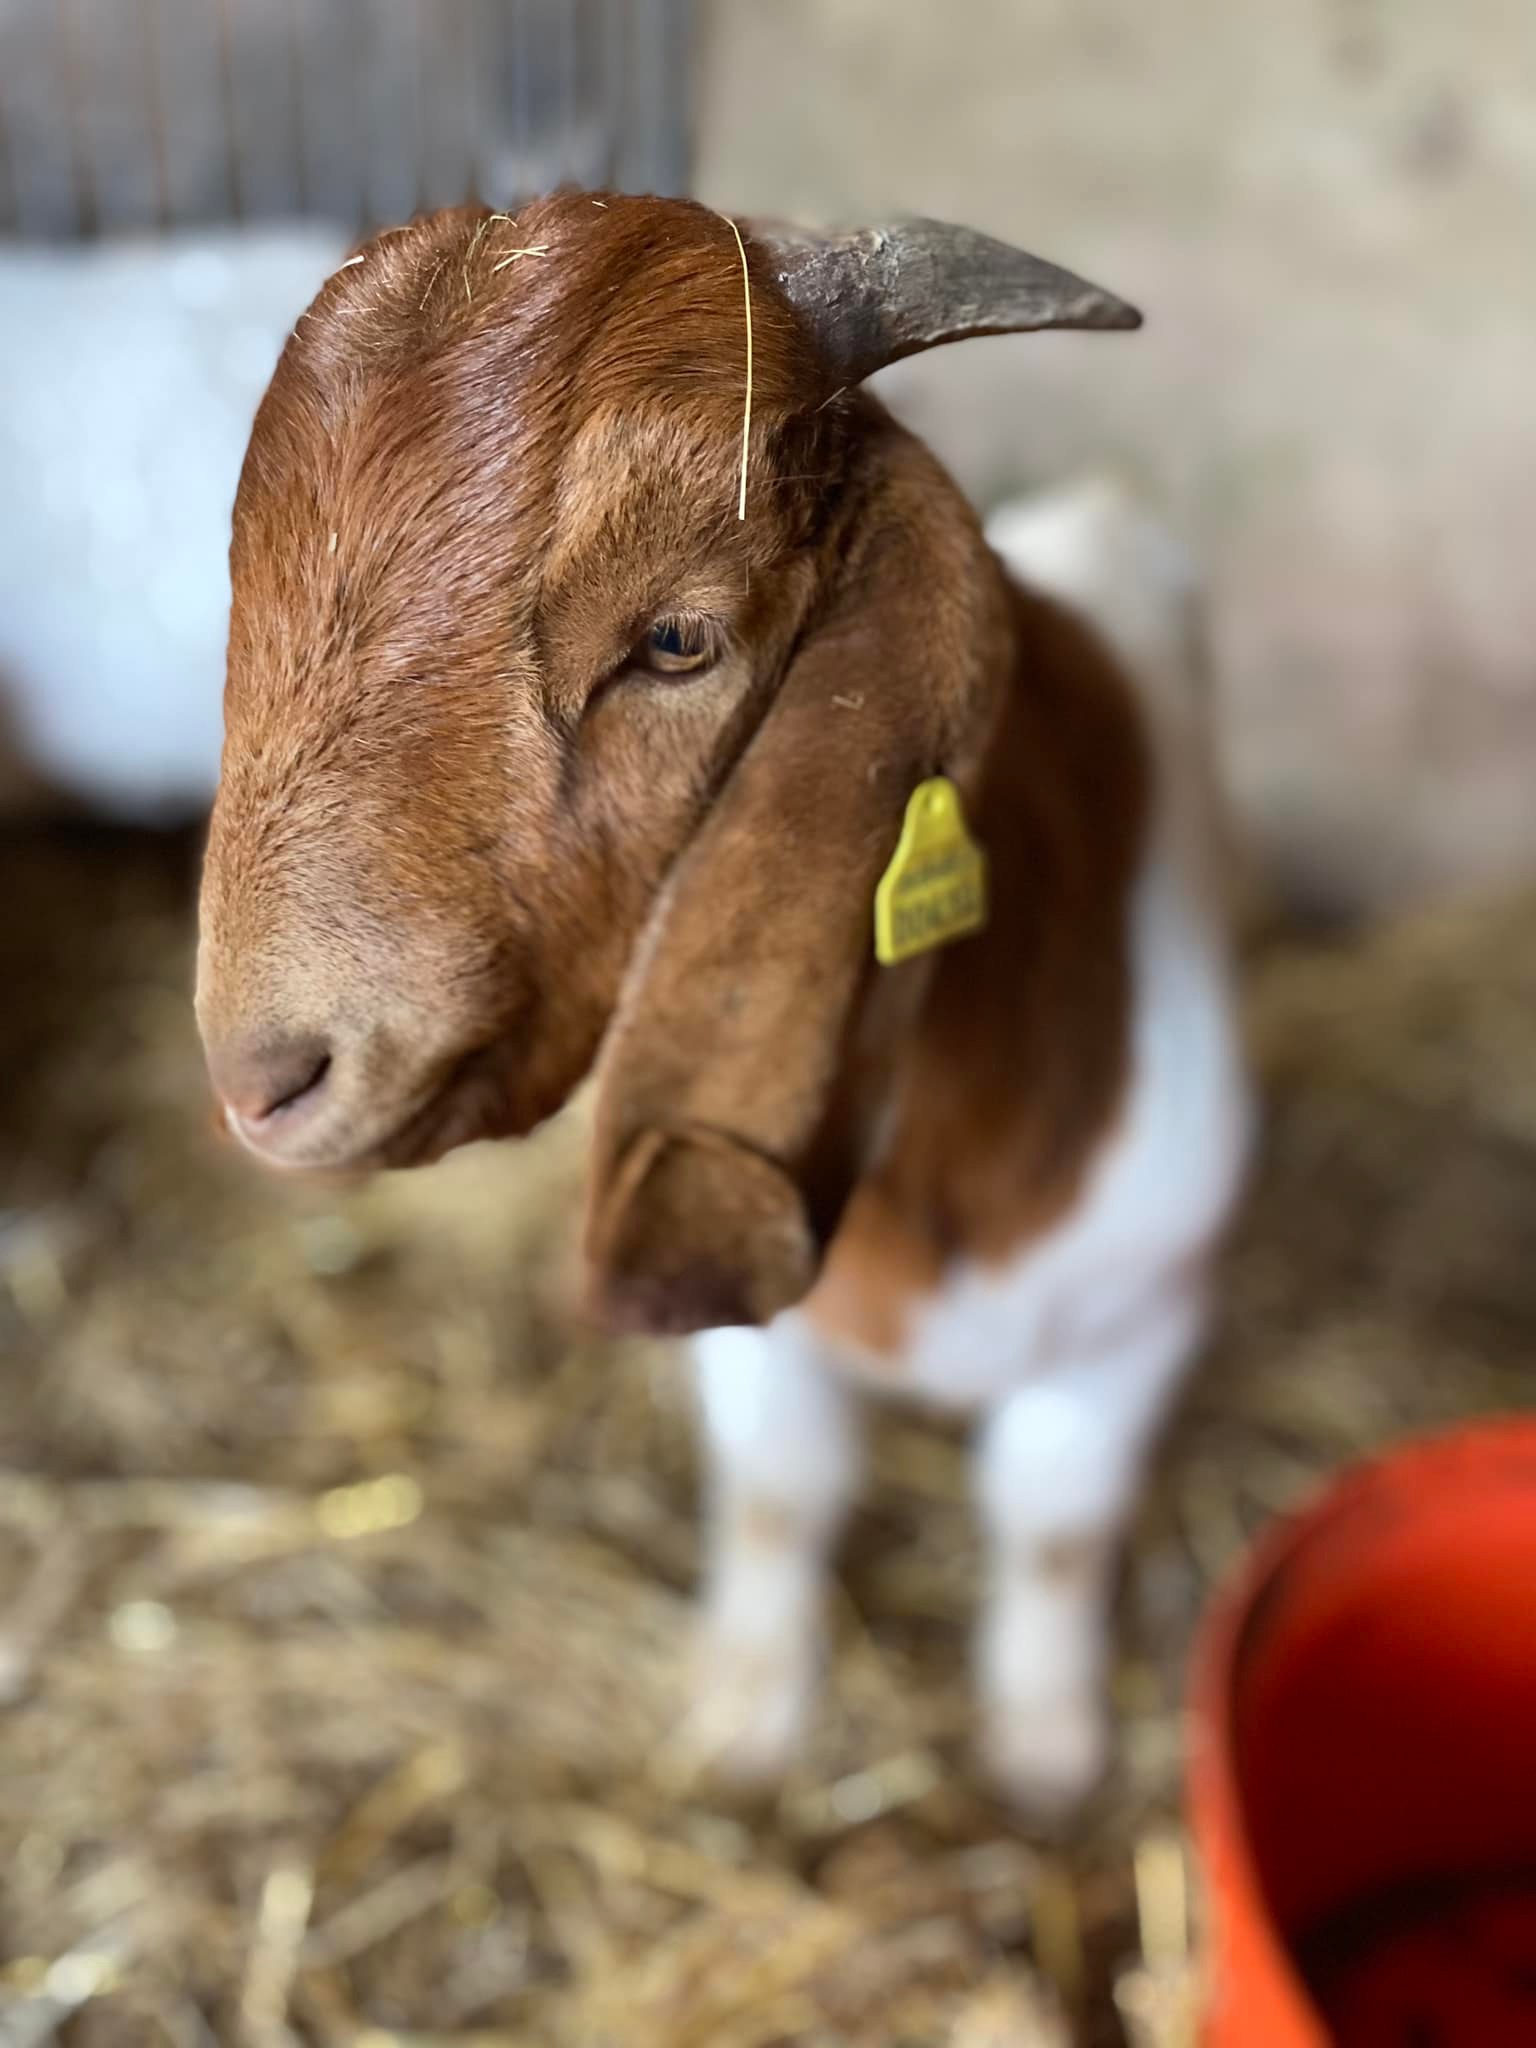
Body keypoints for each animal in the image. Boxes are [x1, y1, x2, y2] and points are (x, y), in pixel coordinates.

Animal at [195, 193, 1252, 1814]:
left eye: (678, 639)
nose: (265, 1077)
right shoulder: (752, 1333)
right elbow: (778, 1495)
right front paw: (746, 1726)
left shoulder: (1138, 1324)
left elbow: (1054, 1520)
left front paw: (1046, 1747)